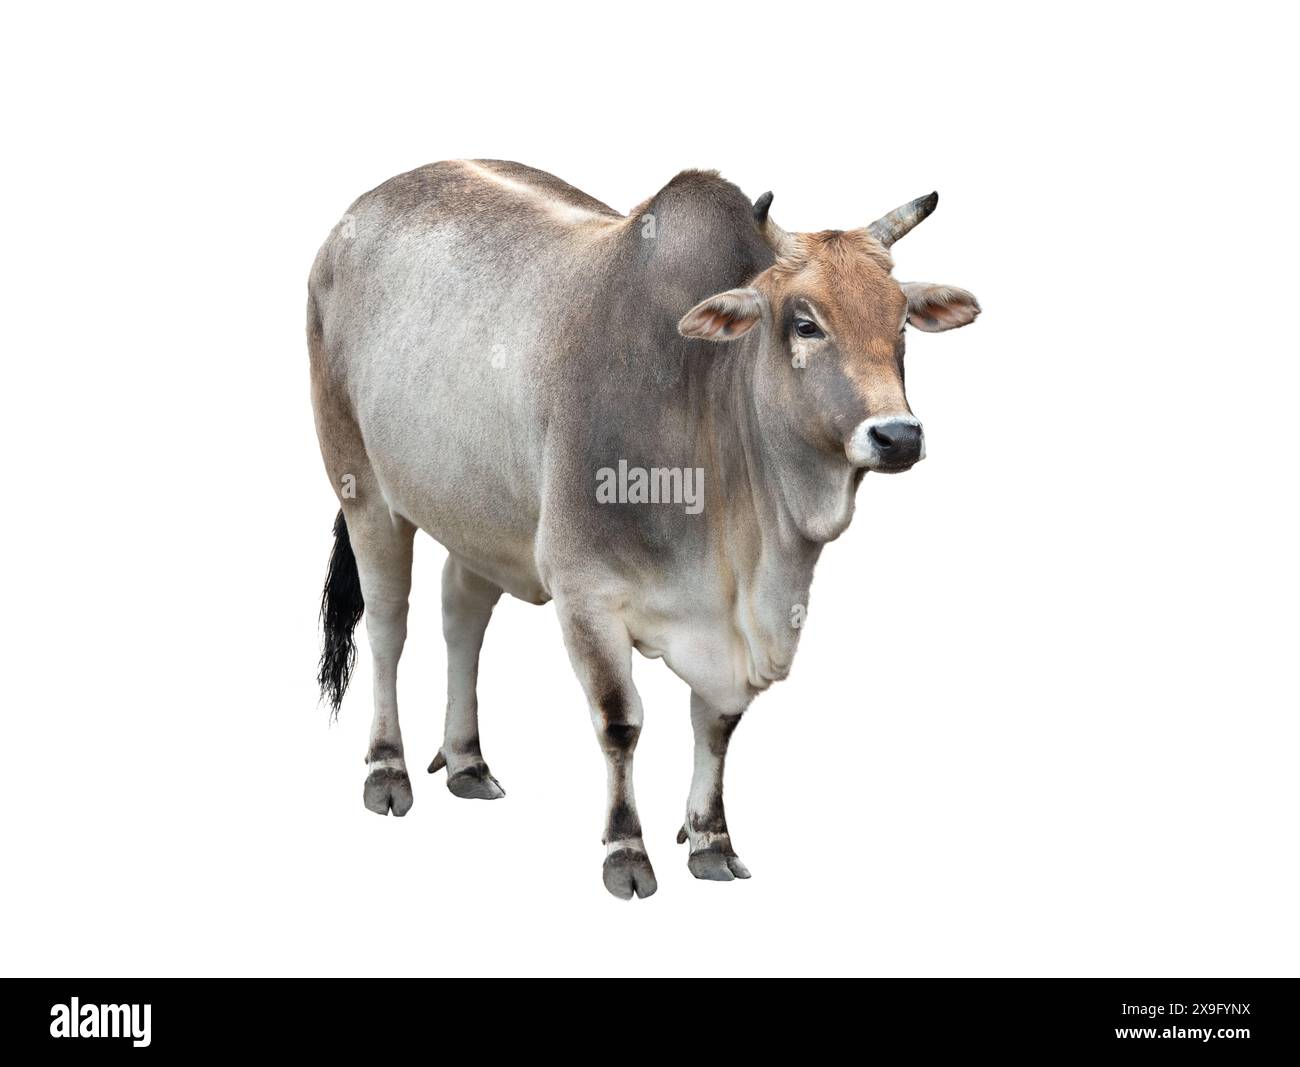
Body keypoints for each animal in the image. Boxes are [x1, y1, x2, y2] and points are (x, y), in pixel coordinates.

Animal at [307, 160, 979, 898]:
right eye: (805, 324)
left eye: (902, 322)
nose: (898, 435)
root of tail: (359, 212)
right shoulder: (585, 592)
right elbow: (620, 721)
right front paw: (626, 851)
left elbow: (716, 726)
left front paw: (710, 839)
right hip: (362, 486)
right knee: (387, 626)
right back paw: (386, 769)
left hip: (481, 516)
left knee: (462, 615)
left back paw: (466, 761)